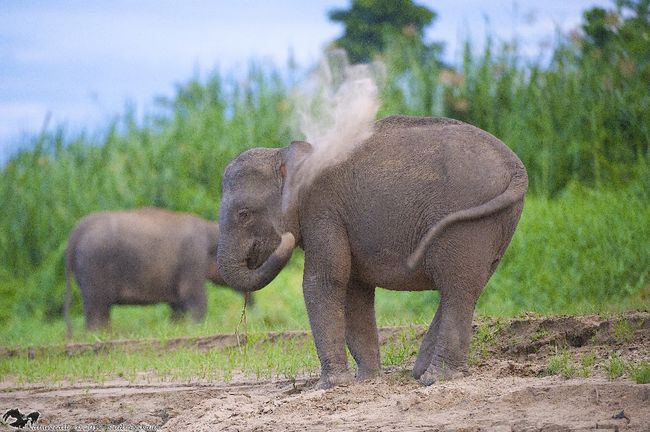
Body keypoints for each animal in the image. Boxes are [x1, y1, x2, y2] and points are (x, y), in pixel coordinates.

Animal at [64, 208, 238, 334]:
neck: (210, 228)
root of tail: (75, 232)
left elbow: (177, 304)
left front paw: (178, 328)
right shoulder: (193, 259)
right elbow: (193, 297)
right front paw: (197, 328)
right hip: (94, 266)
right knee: (97, 308)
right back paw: (97, 335)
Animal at [217, 115, 528, 388]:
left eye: (244, 214)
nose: (286, 239)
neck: (286, 154)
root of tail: (517, 168)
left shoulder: (322, 210)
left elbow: (324, 281)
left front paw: (329, 386)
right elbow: (354, 290)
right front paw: (366, 380)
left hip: (467, 222)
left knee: (457, 288)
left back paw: (435, 378)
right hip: (497, 221)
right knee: (469, 285)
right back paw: (421, 371)